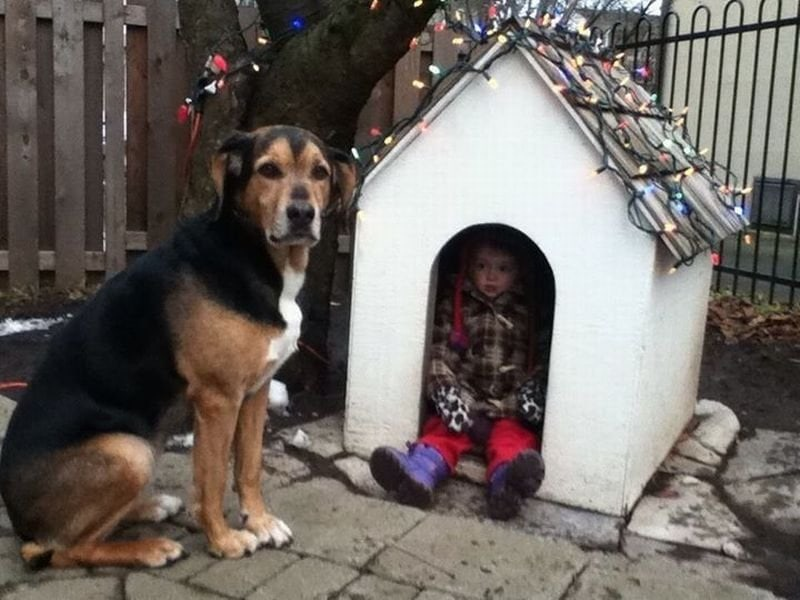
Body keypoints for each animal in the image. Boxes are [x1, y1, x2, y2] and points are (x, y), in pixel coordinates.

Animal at [0, 125, 356, 568]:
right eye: (268, 170)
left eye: (320, 172)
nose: (302, 214)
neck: (251, 252)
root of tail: (19, 521)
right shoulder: (218, 399)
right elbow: (213, 479)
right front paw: (224, 540)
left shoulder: (254, 393)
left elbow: (249, 466)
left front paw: (259, 521)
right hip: (129, 451)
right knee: (66, 549)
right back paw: (152, 548)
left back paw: (152, 506)